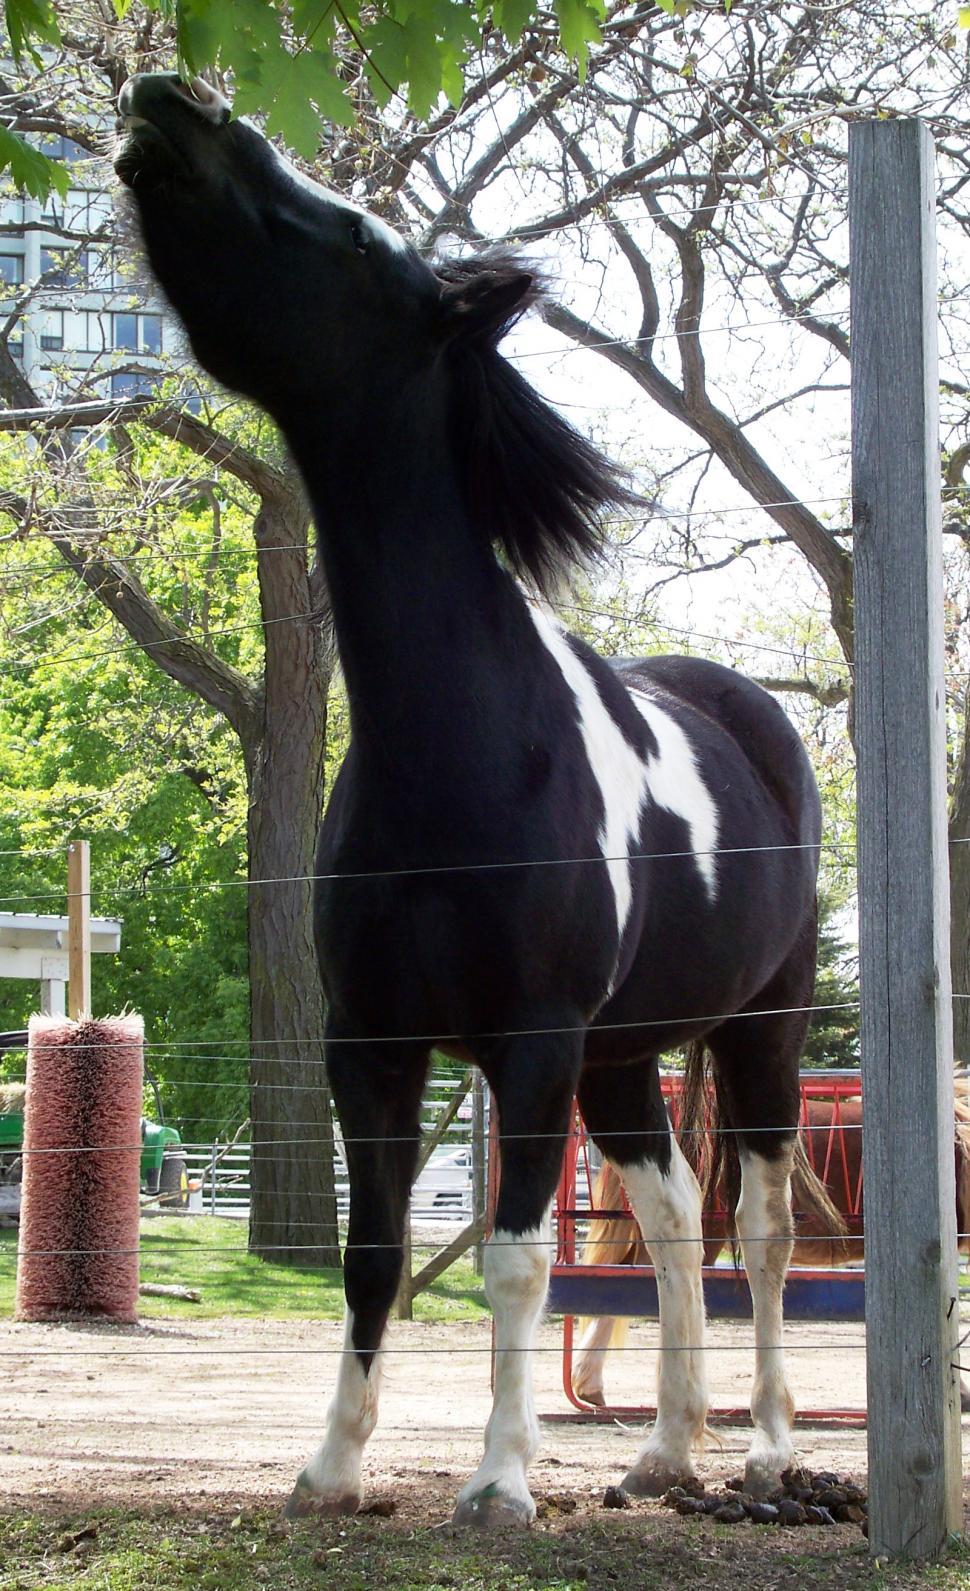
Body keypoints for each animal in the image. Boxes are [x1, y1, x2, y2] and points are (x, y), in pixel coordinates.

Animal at [115, 75, 834, 1523]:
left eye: (350, 233)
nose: (175, 100)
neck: (461, 751)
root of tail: (751, 712)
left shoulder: (529, 1046)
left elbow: (512, 1258)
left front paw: (500, 1476)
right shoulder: (371, 1047)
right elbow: (375, 1248)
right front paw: (332, 1465)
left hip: (757, 1031)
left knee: (762, 1227)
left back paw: (771, 1447)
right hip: (625, 1057)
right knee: (673, 1223)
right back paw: (666, 1449)